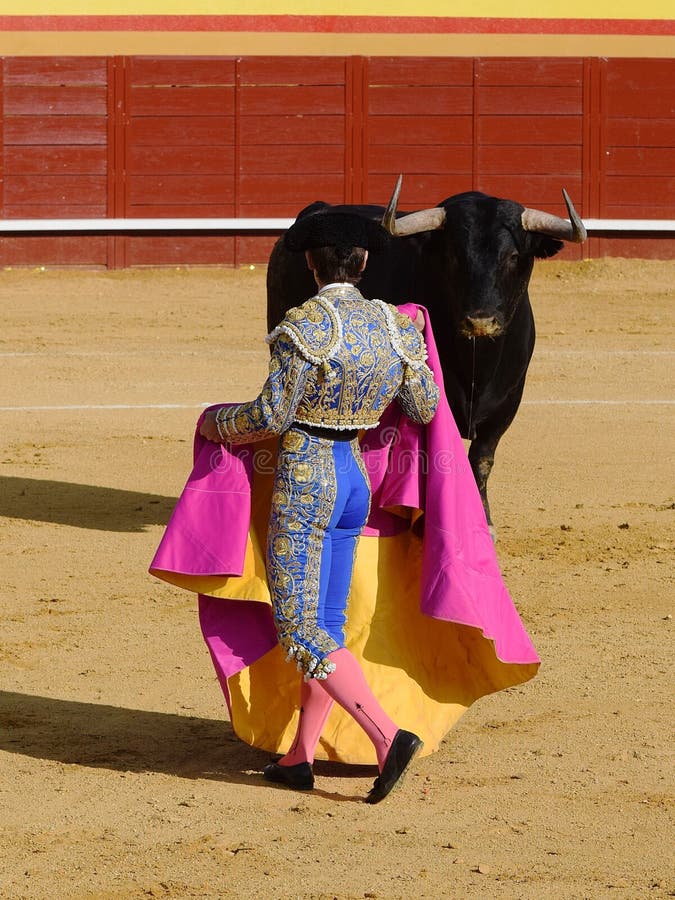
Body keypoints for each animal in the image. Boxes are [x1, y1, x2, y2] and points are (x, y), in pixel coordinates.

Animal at [266, 176, 587, 532]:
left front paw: (484, 519)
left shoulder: (508, 402)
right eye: (455, 257)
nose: (481, 321)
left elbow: (481, 459)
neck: (478, 364)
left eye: (514, 256)